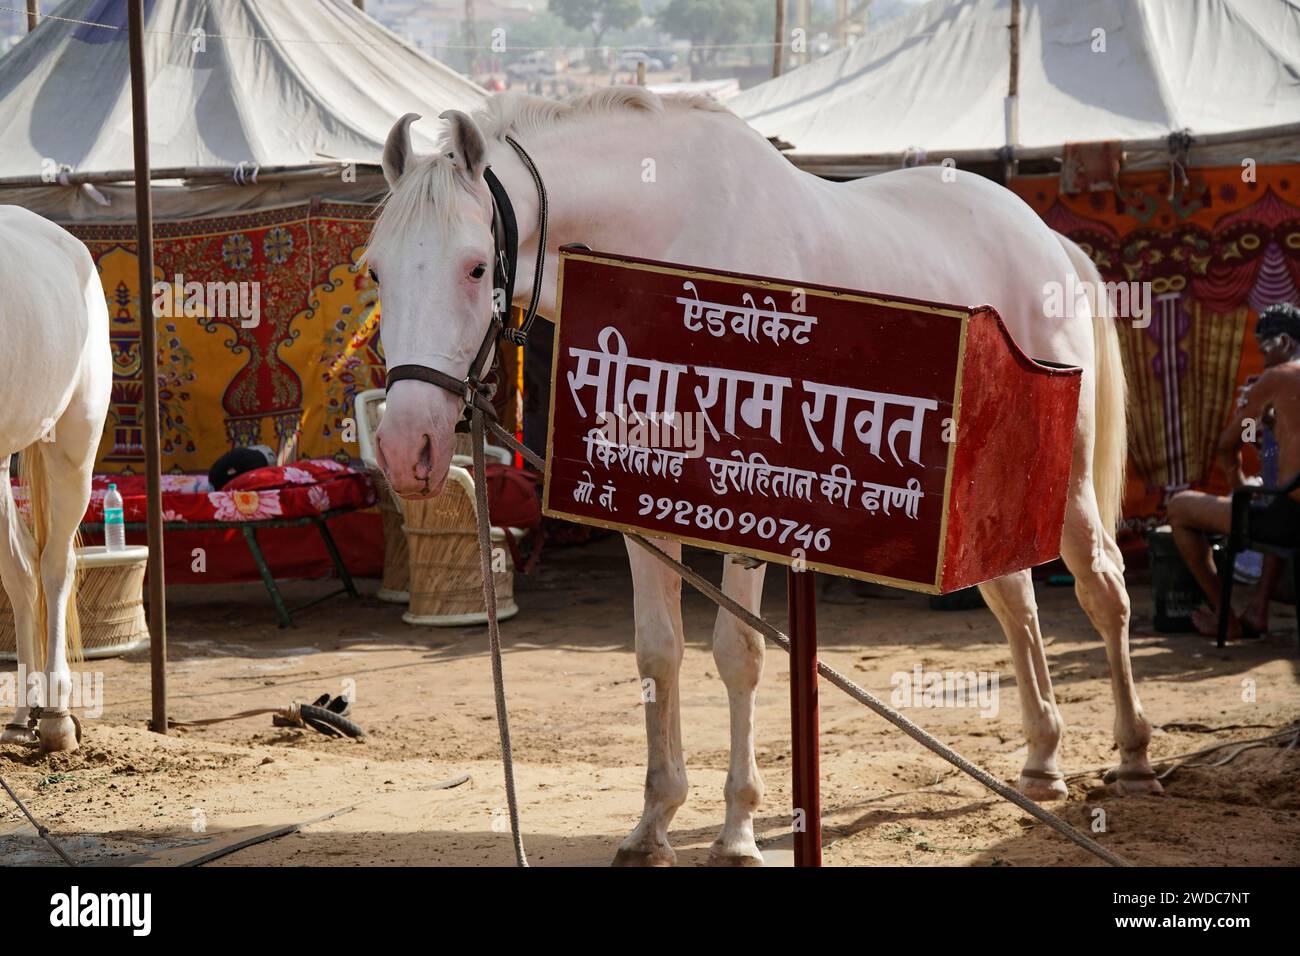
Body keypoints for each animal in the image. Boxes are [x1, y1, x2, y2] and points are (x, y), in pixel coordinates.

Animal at [367, 89, 1157, 866]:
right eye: (375, 270)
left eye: (476, 267)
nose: (407, 446)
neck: (668, 247)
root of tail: (1042, 236)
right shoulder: (637, 500)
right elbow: (658, 651)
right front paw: (654, 822)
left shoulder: (752, 508)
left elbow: (737, 653)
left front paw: (738, 830)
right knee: (1014, 597)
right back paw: (1042, 759)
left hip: (1066, 481)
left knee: (1101, 586)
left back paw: (1134, 756)